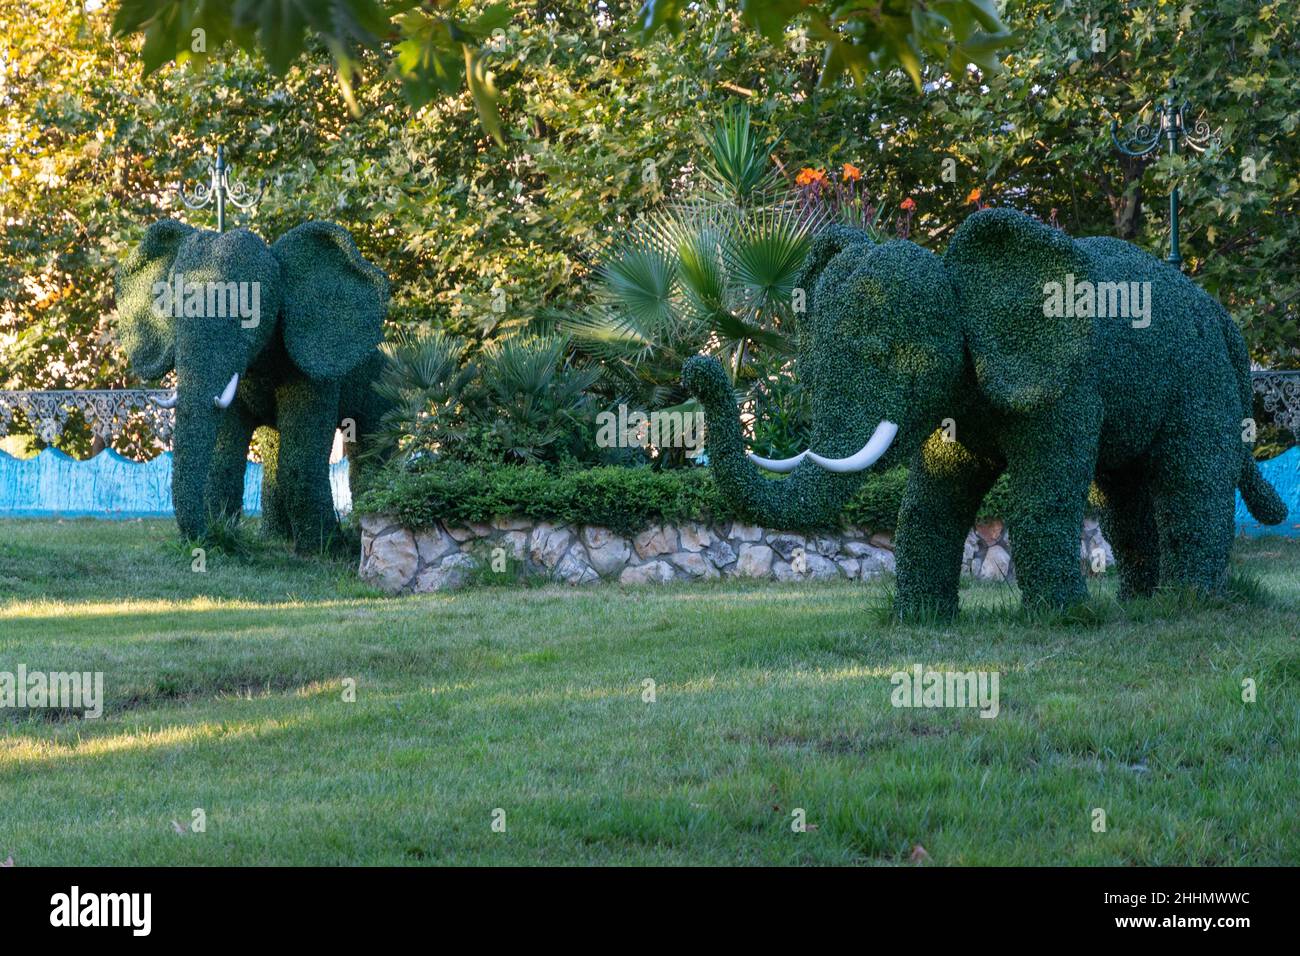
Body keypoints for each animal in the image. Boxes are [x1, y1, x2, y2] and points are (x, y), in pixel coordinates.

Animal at [115, 218, 392, 552]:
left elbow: (299, 459)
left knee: (371, 448)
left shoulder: (313, 376)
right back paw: (275, 538)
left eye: (248, 314)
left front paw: (327, 551)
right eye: (172, 311)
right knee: (273, 449)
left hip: (380, 391)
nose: (208, 537)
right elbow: (223, 458)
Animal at [684, 208, 1286, 618]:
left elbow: (1038, 498)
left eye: (885, 355)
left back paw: (1189, 602)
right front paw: (920, 620)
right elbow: (930, 500)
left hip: (1199, 379)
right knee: (1122, 496)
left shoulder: (1066, 386)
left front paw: (1061, 617)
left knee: (1193, 479)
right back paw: (1138, 605)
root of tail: (1221, 315)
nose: (699, 369)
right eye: (807, 370)